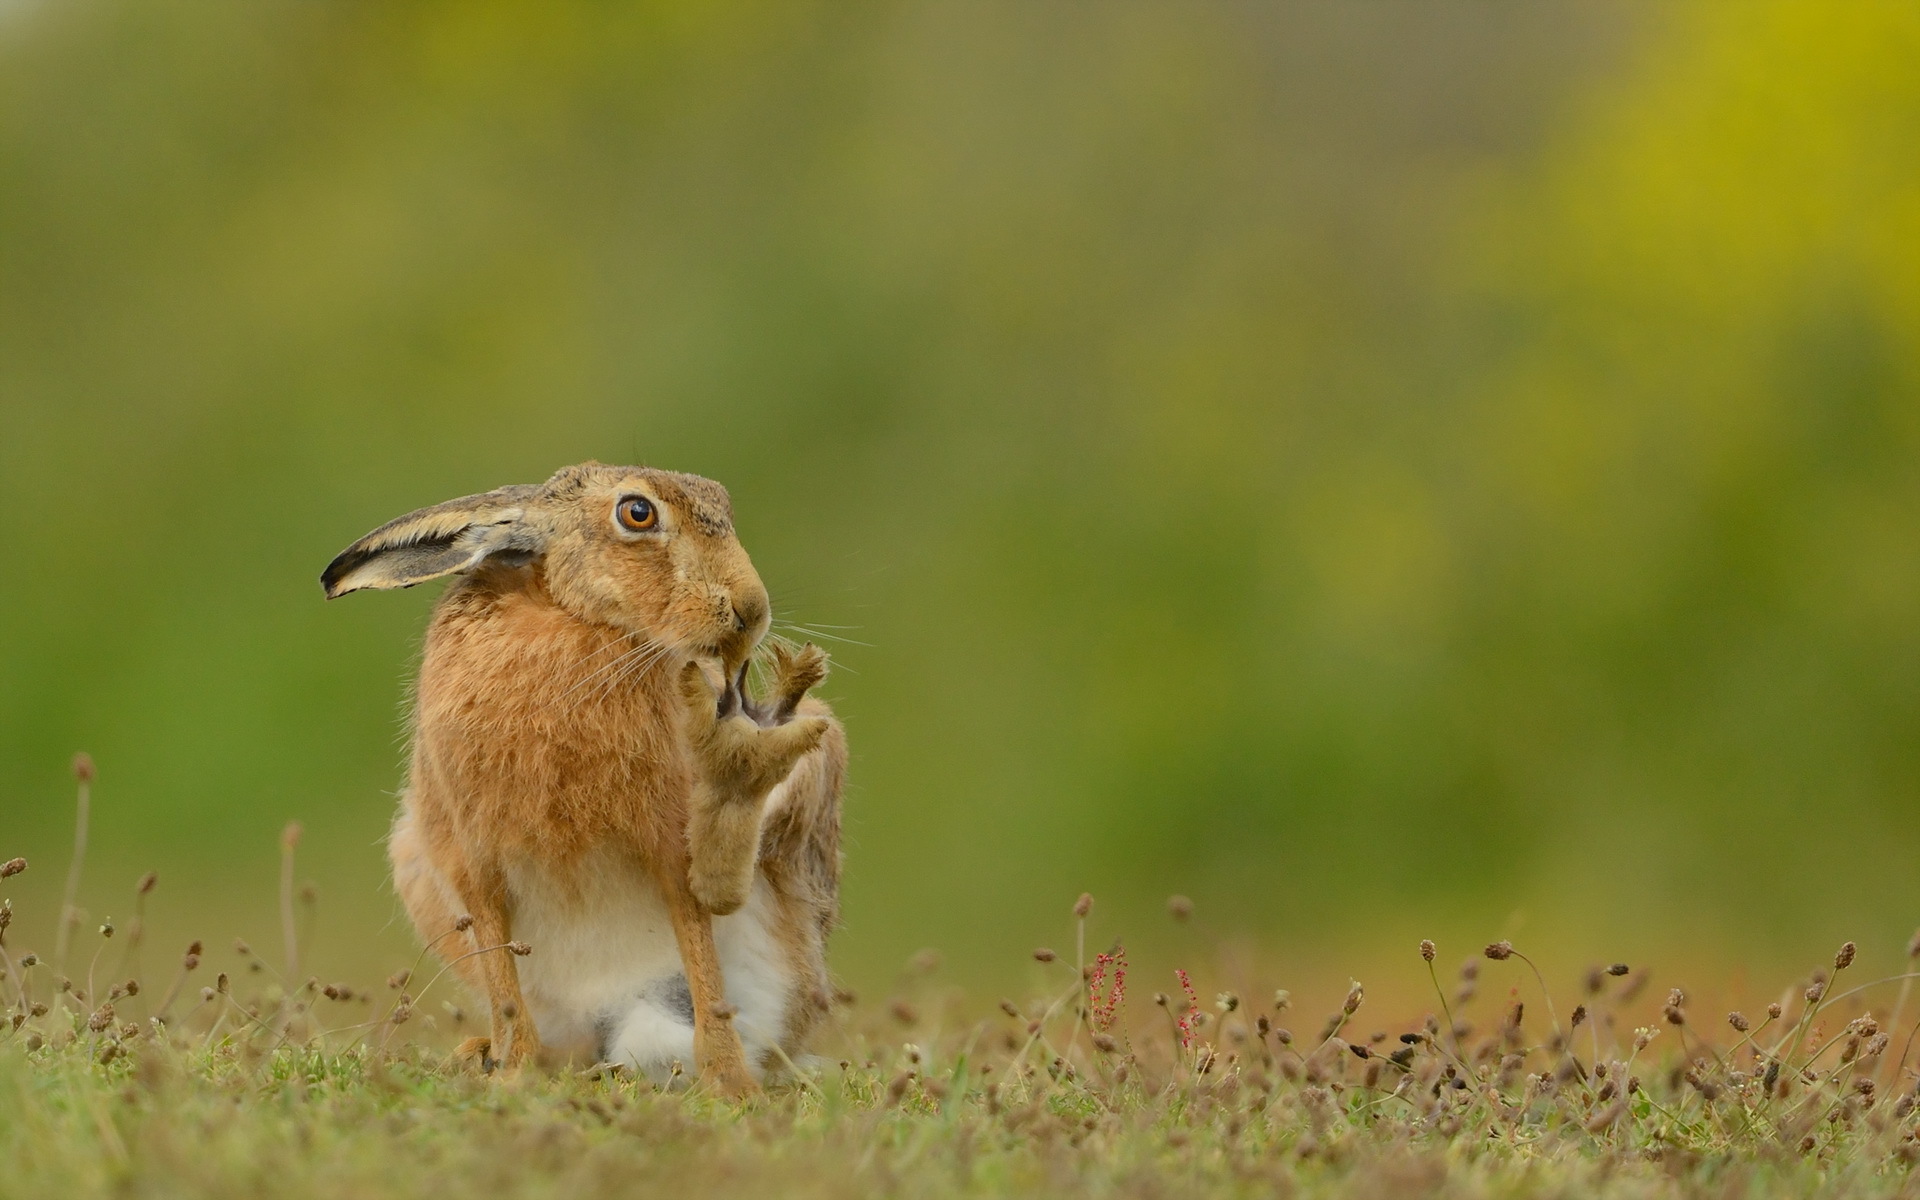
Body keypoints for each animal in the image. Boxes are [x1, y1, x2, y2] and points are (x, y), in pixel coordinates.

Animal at [321, 462, 846, 1097]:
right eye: (637, 513)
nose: (752, 612)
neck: (575, 619)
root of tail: (622, 1012)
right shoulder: (471, 859)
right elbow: (501, 973)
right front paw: (512, 1072)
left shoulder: (669, 849)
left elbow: (698, 944)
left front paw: (728, 1084)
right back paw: (489, 1056)